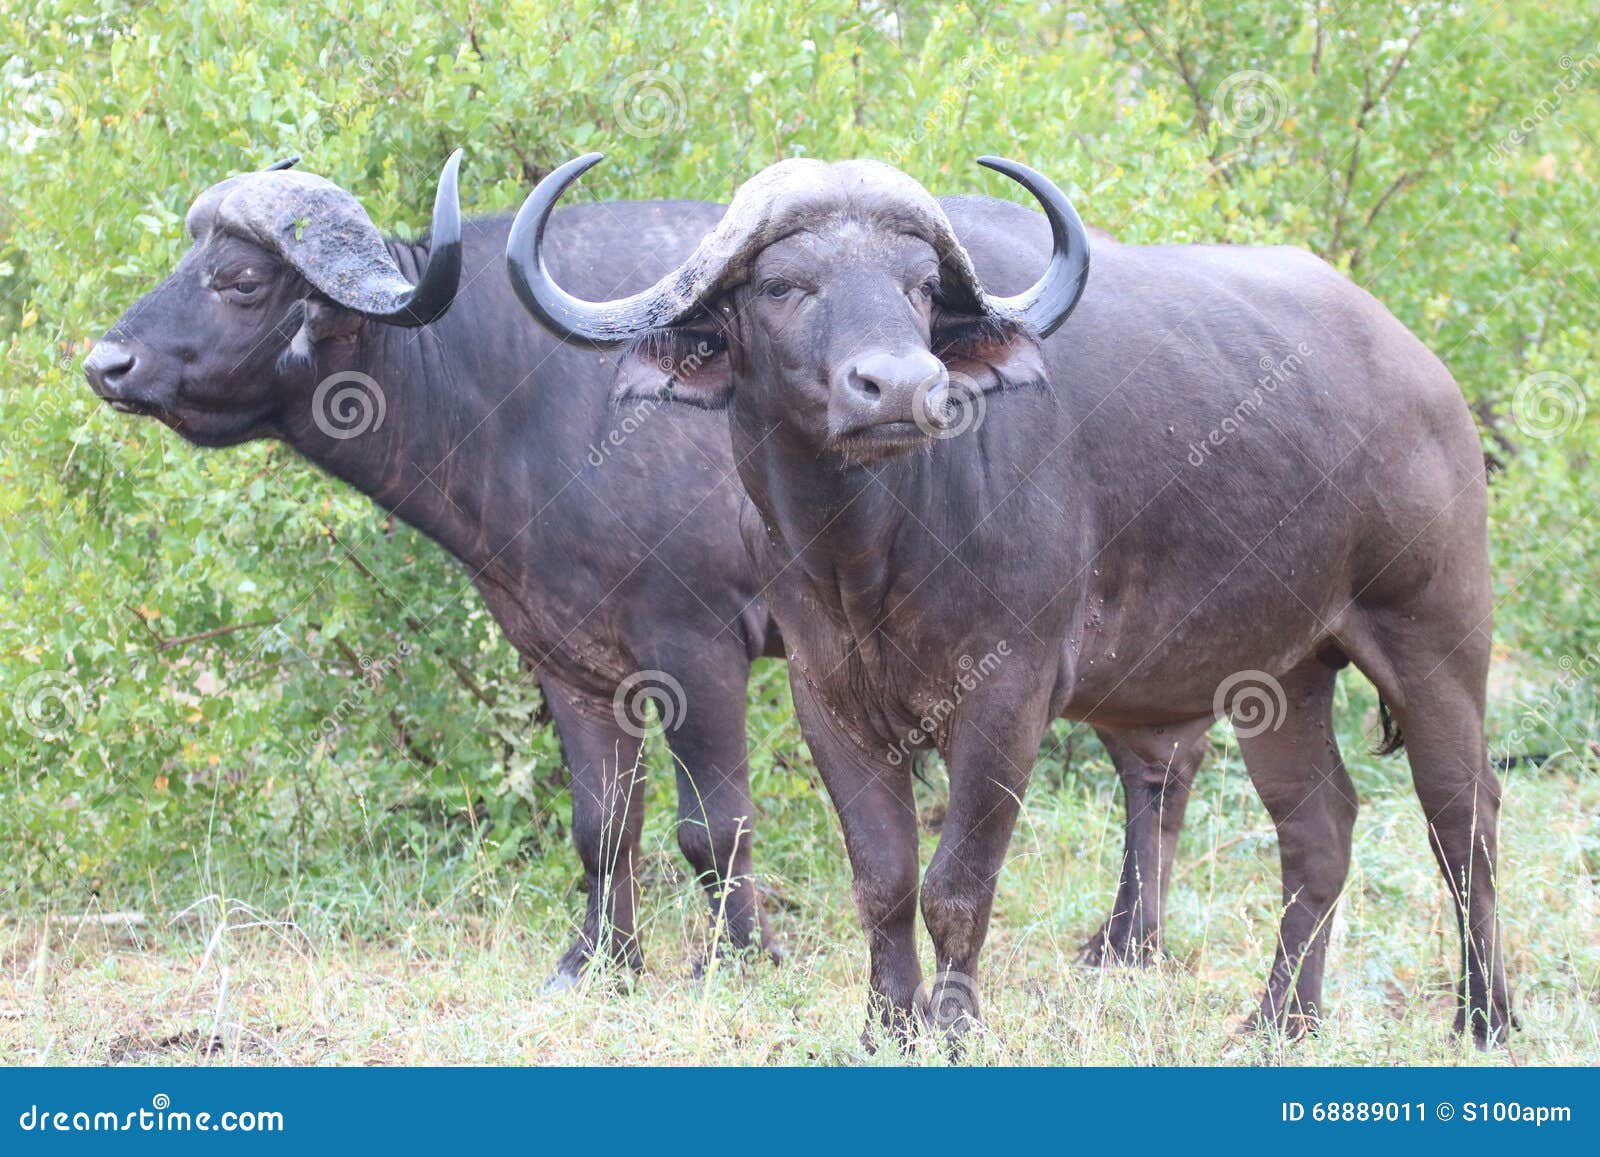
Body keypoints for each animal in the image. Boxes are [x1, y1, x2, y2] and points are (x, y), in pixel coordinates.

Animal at [508, 153, 1510, 1044]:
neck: (868, 552)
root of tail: (1429, 379)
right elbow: (883, 879)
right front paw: (885, 1026)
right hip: (1282, 674)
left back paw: (1484, 1017)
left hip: (1436, 634)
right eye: (784, 284)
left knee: (1464, 815)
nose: (900, 386)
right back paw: (1280, 1021)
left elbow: (959, 882)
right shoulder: (825, 698)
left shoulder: (1009, 695)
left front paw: (953, 1028)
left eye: (919, 285)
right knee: (1319, 827)